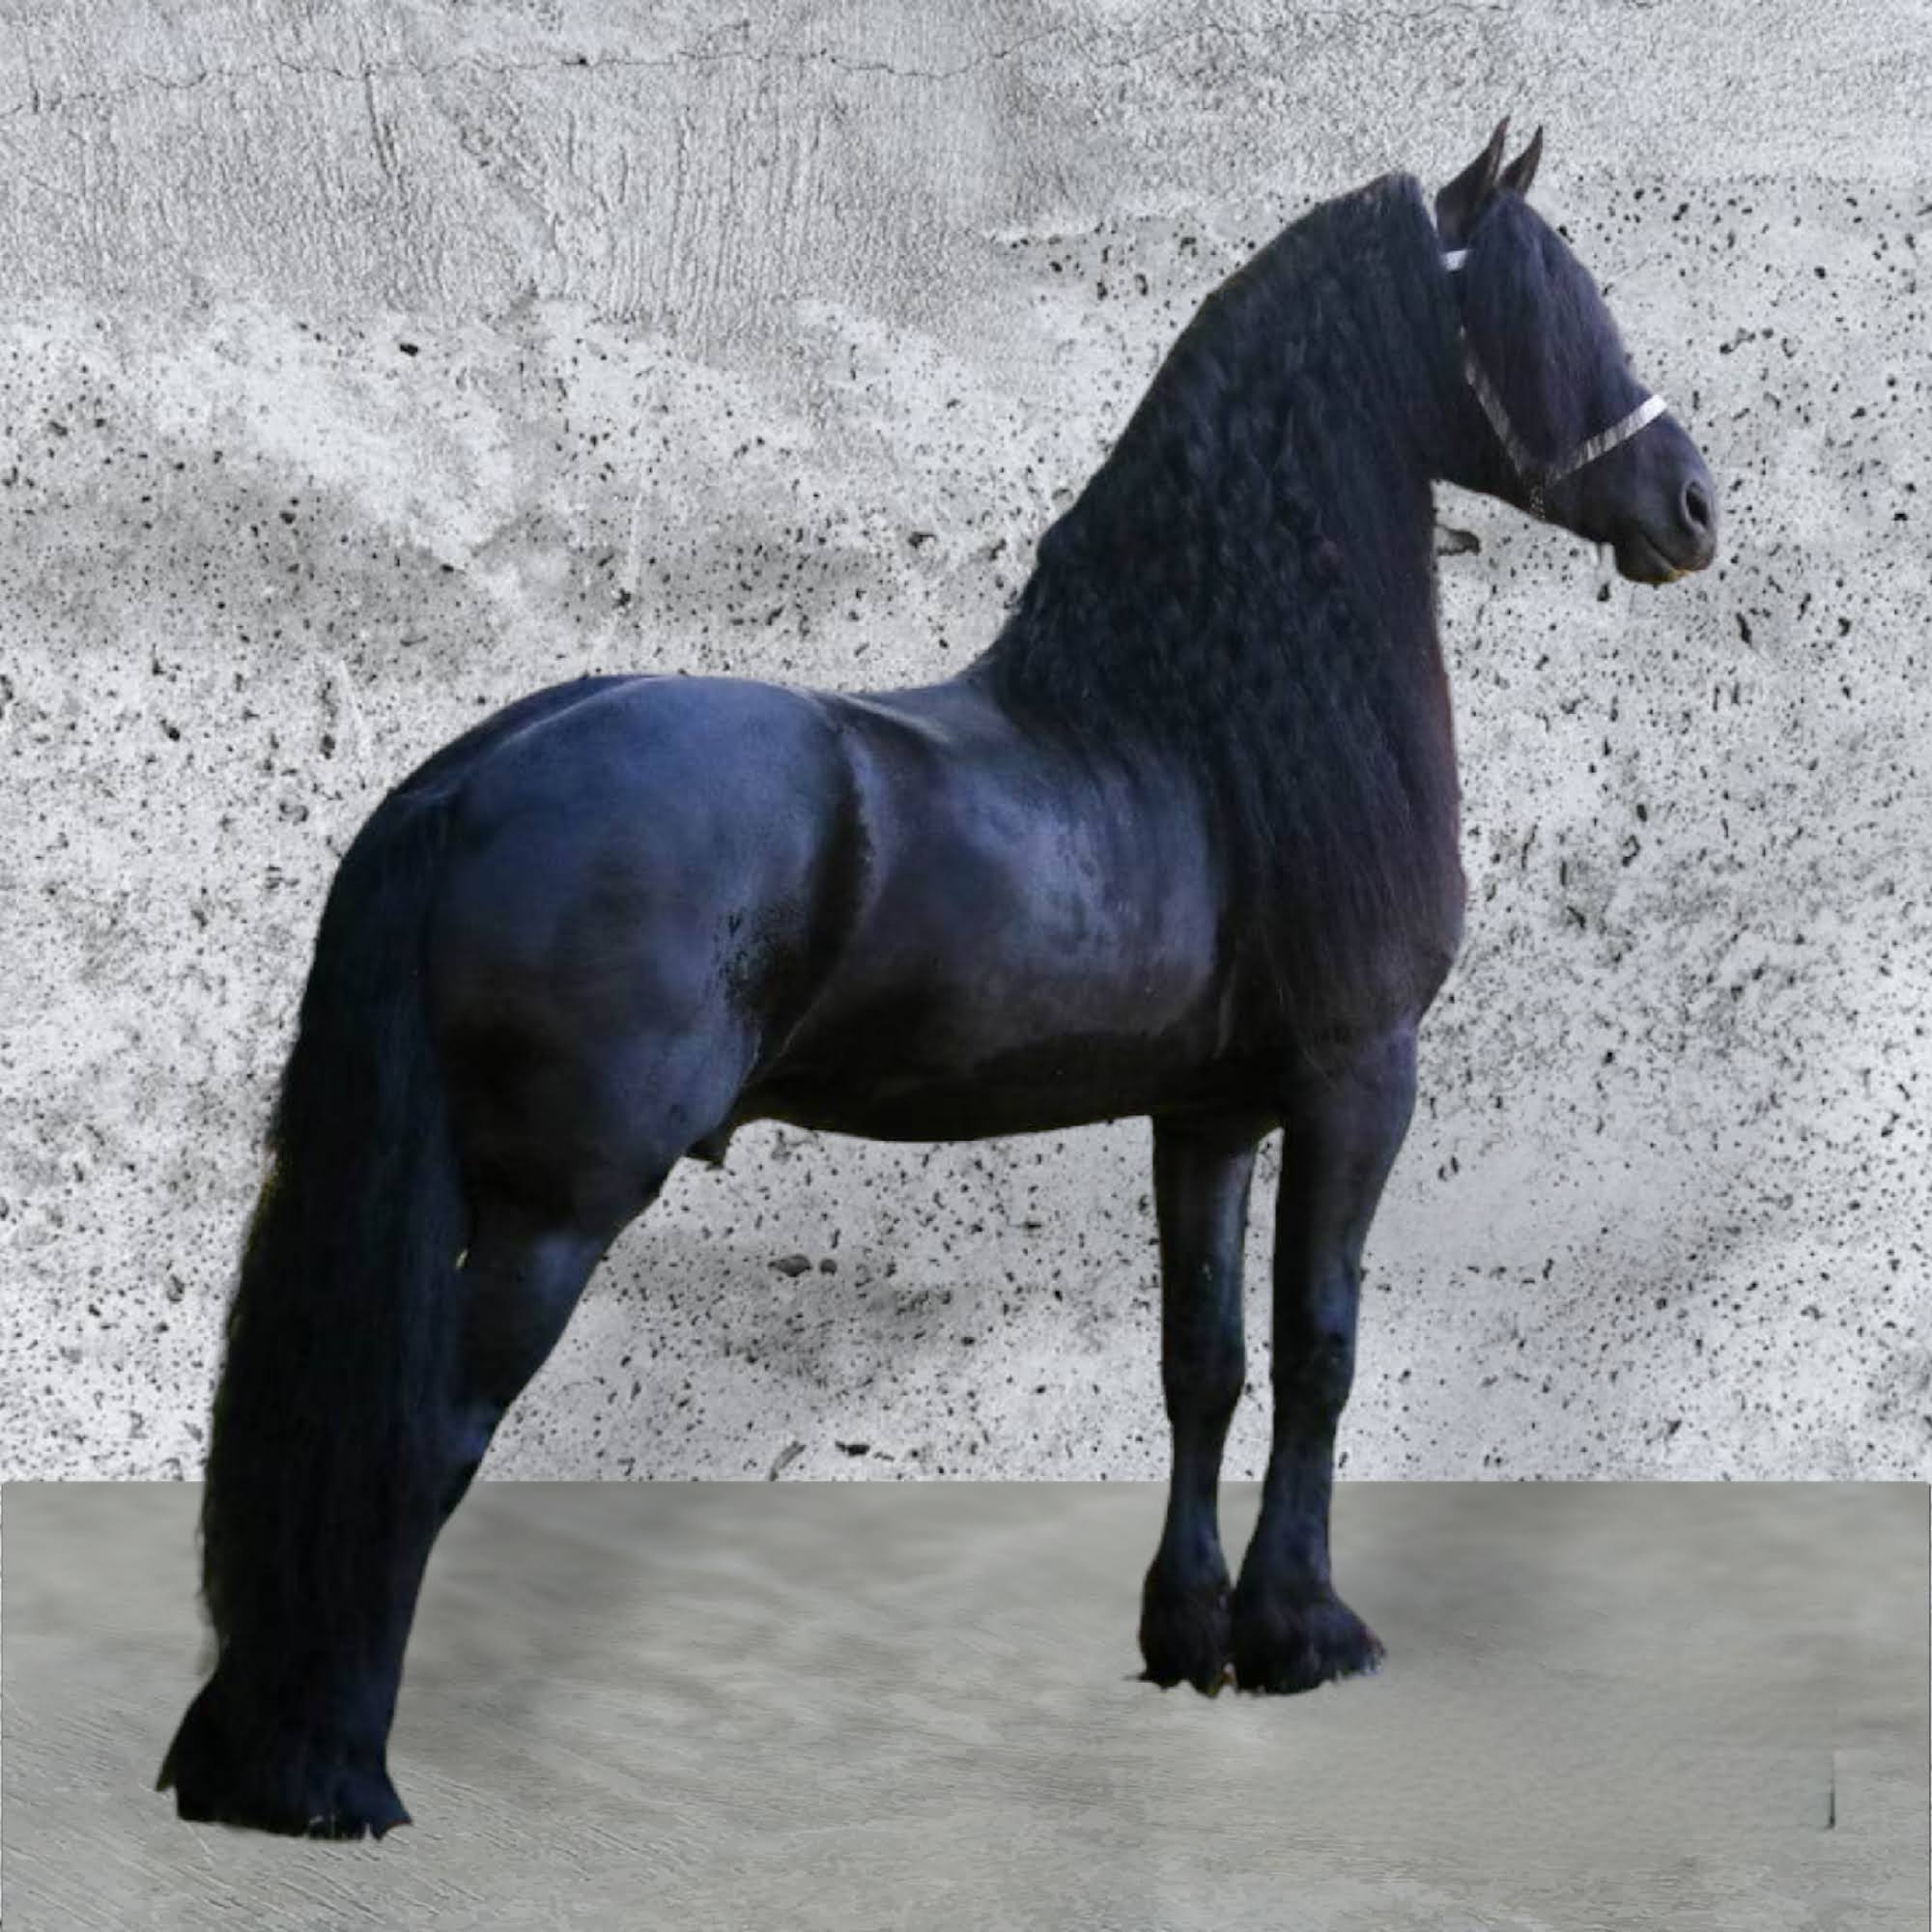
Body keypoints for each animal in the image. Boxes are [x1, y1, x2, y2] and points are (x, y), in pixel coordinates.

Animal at [158, 121, 1718, 1838]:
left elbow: (1205, 1362)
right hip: (557, 1205)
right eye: (1537, 301)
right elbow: (1320, 1350)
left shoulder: (1208, 1115)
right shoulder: (1356, 1080)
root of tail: (465, 780)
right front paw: (1307, 1633)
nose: (1696, 506)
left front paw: (1192, 1638)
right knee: (419, 1437)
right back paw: (335, 1776)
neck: (1206, 728)